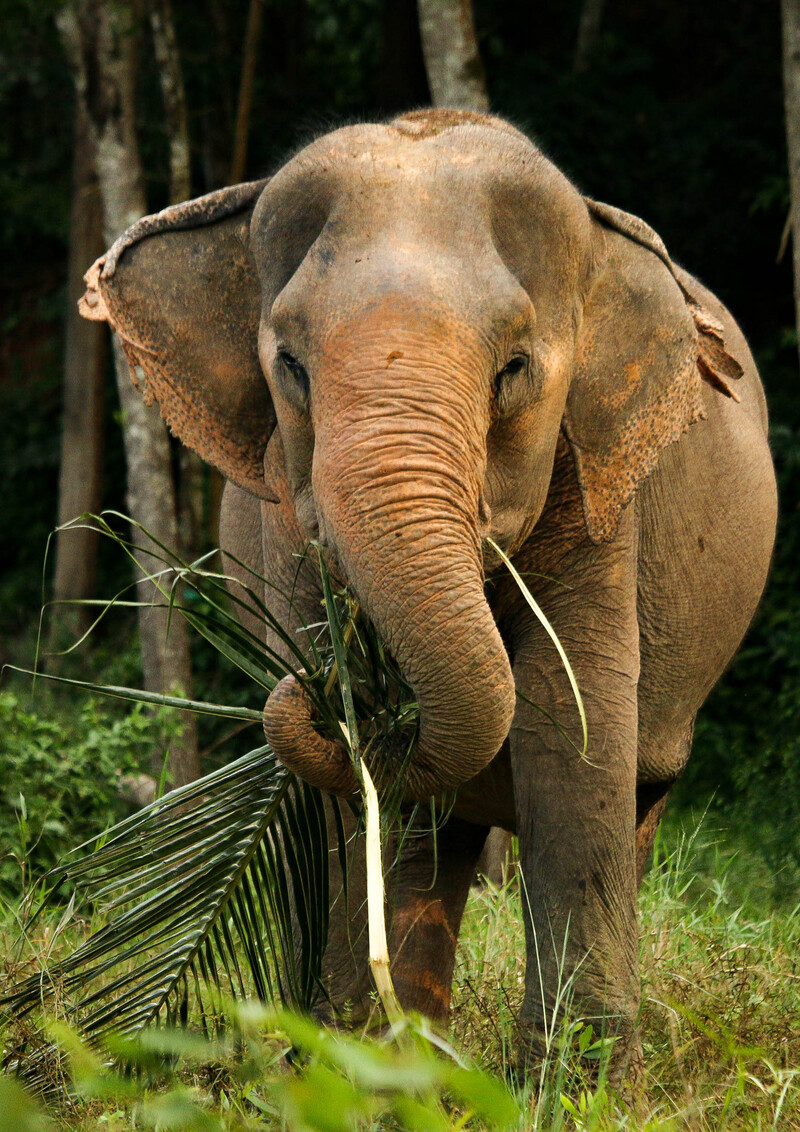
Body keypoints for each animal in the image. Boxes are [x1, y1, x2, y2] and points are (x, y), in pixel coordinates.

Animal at [80, 108, 777, 1080]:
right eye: (290, 366)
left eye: (513, 368)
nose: (317, 688)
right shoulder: (284, 522)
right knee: (432, 832)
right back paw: (408, 1050)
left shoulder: (599, 494)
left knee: (634, 796)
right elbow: (365, 776)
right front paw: (347, 1061)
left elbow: (572, 727)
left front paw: (578, 1085)